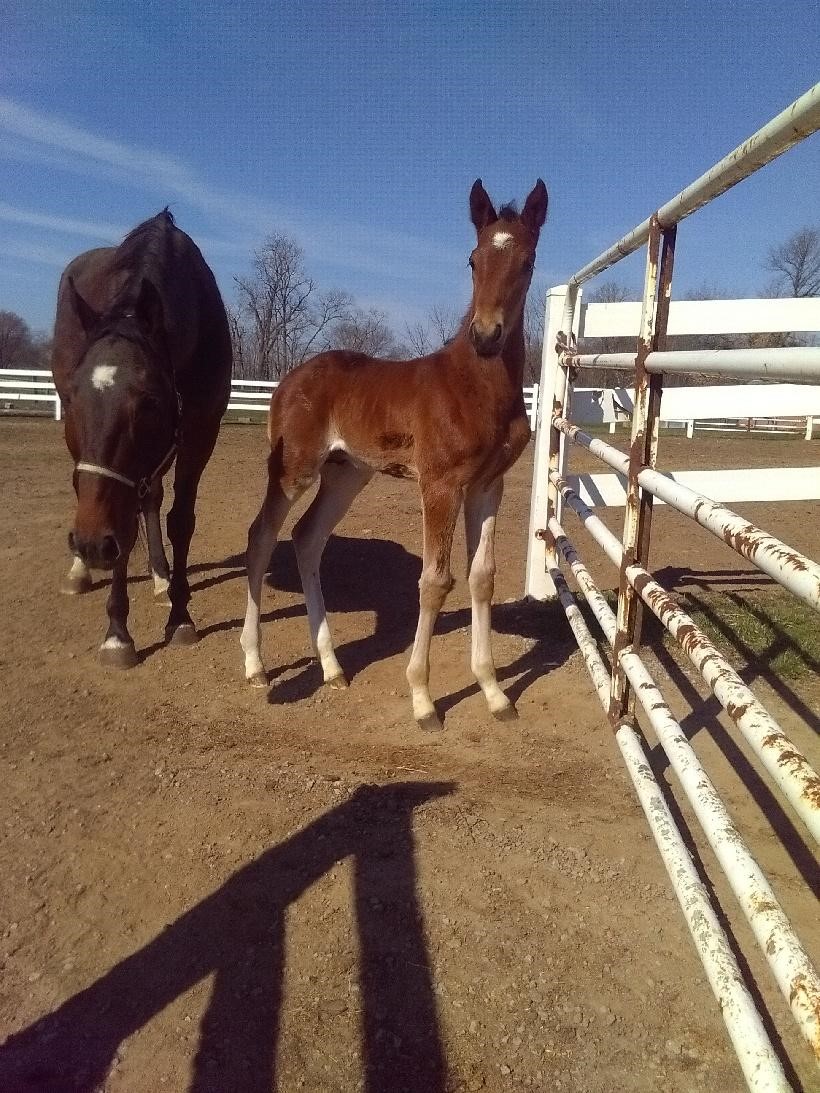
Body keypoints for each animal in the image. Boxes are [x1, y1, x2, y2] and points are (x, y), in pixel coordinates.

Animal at [52, 209, 232, 667]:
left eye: (148, 402)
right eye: (73, 399)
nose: (92, 543)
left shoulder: (199, 434)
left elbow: (179, 521)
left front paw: (180, 615)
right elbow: (123, 525)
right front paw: (117, 634)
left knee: (150, 501)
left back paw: (160, 578)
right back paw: (80, 571)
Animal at [240, 179, 548, 729]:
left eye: (528, 261)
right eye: (472, 259)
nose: (486, 335)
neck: (476, 385)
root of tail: (290, 378)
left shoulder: (488, 485)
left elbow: (482, 577)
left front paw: (494, 693)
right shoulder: (440, 484)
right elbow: (435, 581)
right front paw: (423, 699)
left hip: (347, 474)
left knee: (307, 539)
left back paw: (332, 668)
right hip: (294, 468)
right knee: (262, 537)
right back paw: (255, 665)